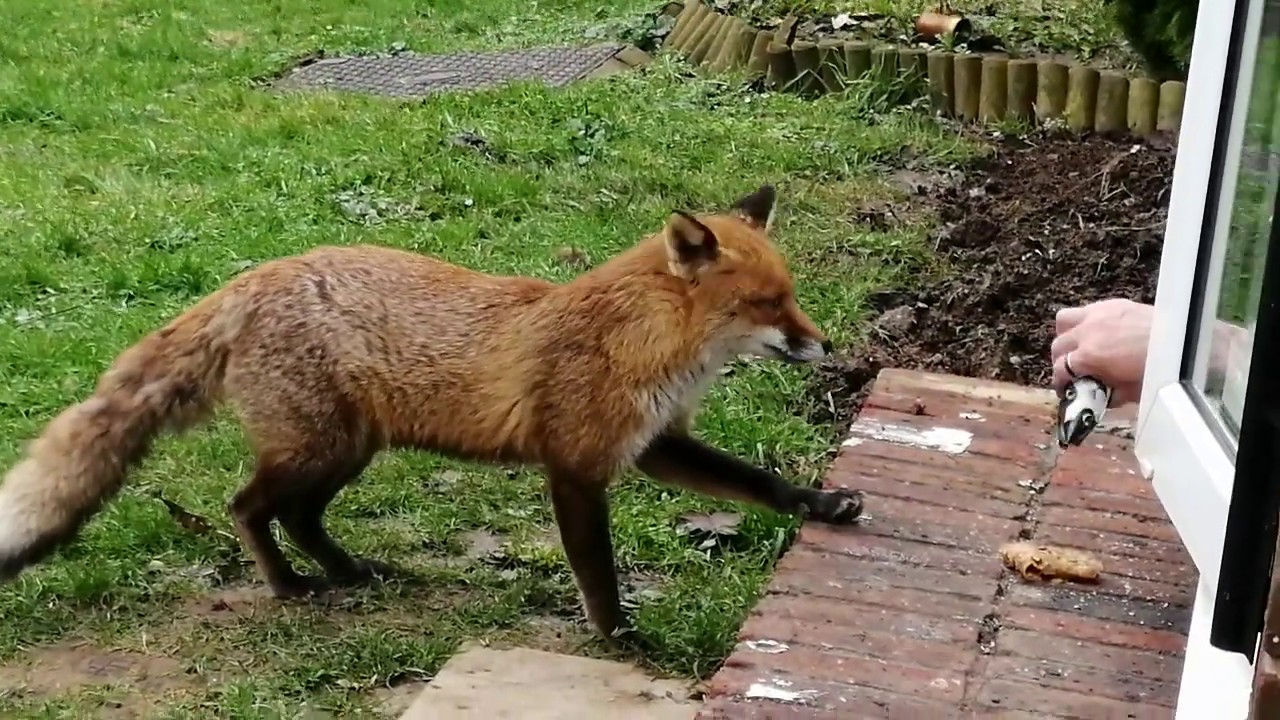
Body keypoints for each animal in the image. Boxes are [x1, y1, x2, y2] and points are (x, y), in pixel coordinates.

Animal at [0, 184, 863, 642]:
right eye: (767, 304)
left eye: (790, 295)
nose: (824, 344)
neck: (647, 348)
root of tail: (256, 276)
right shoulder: (576, 467)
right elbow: (598, 573)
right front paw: (619, 638)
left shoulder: (654, 443)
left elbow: (761, 484)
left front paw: (822, 503)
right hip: (317, 448)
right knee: (244, 506)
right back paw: (287, 586)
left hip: (346, 452)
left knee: (297, 516)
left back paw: (348, 571)